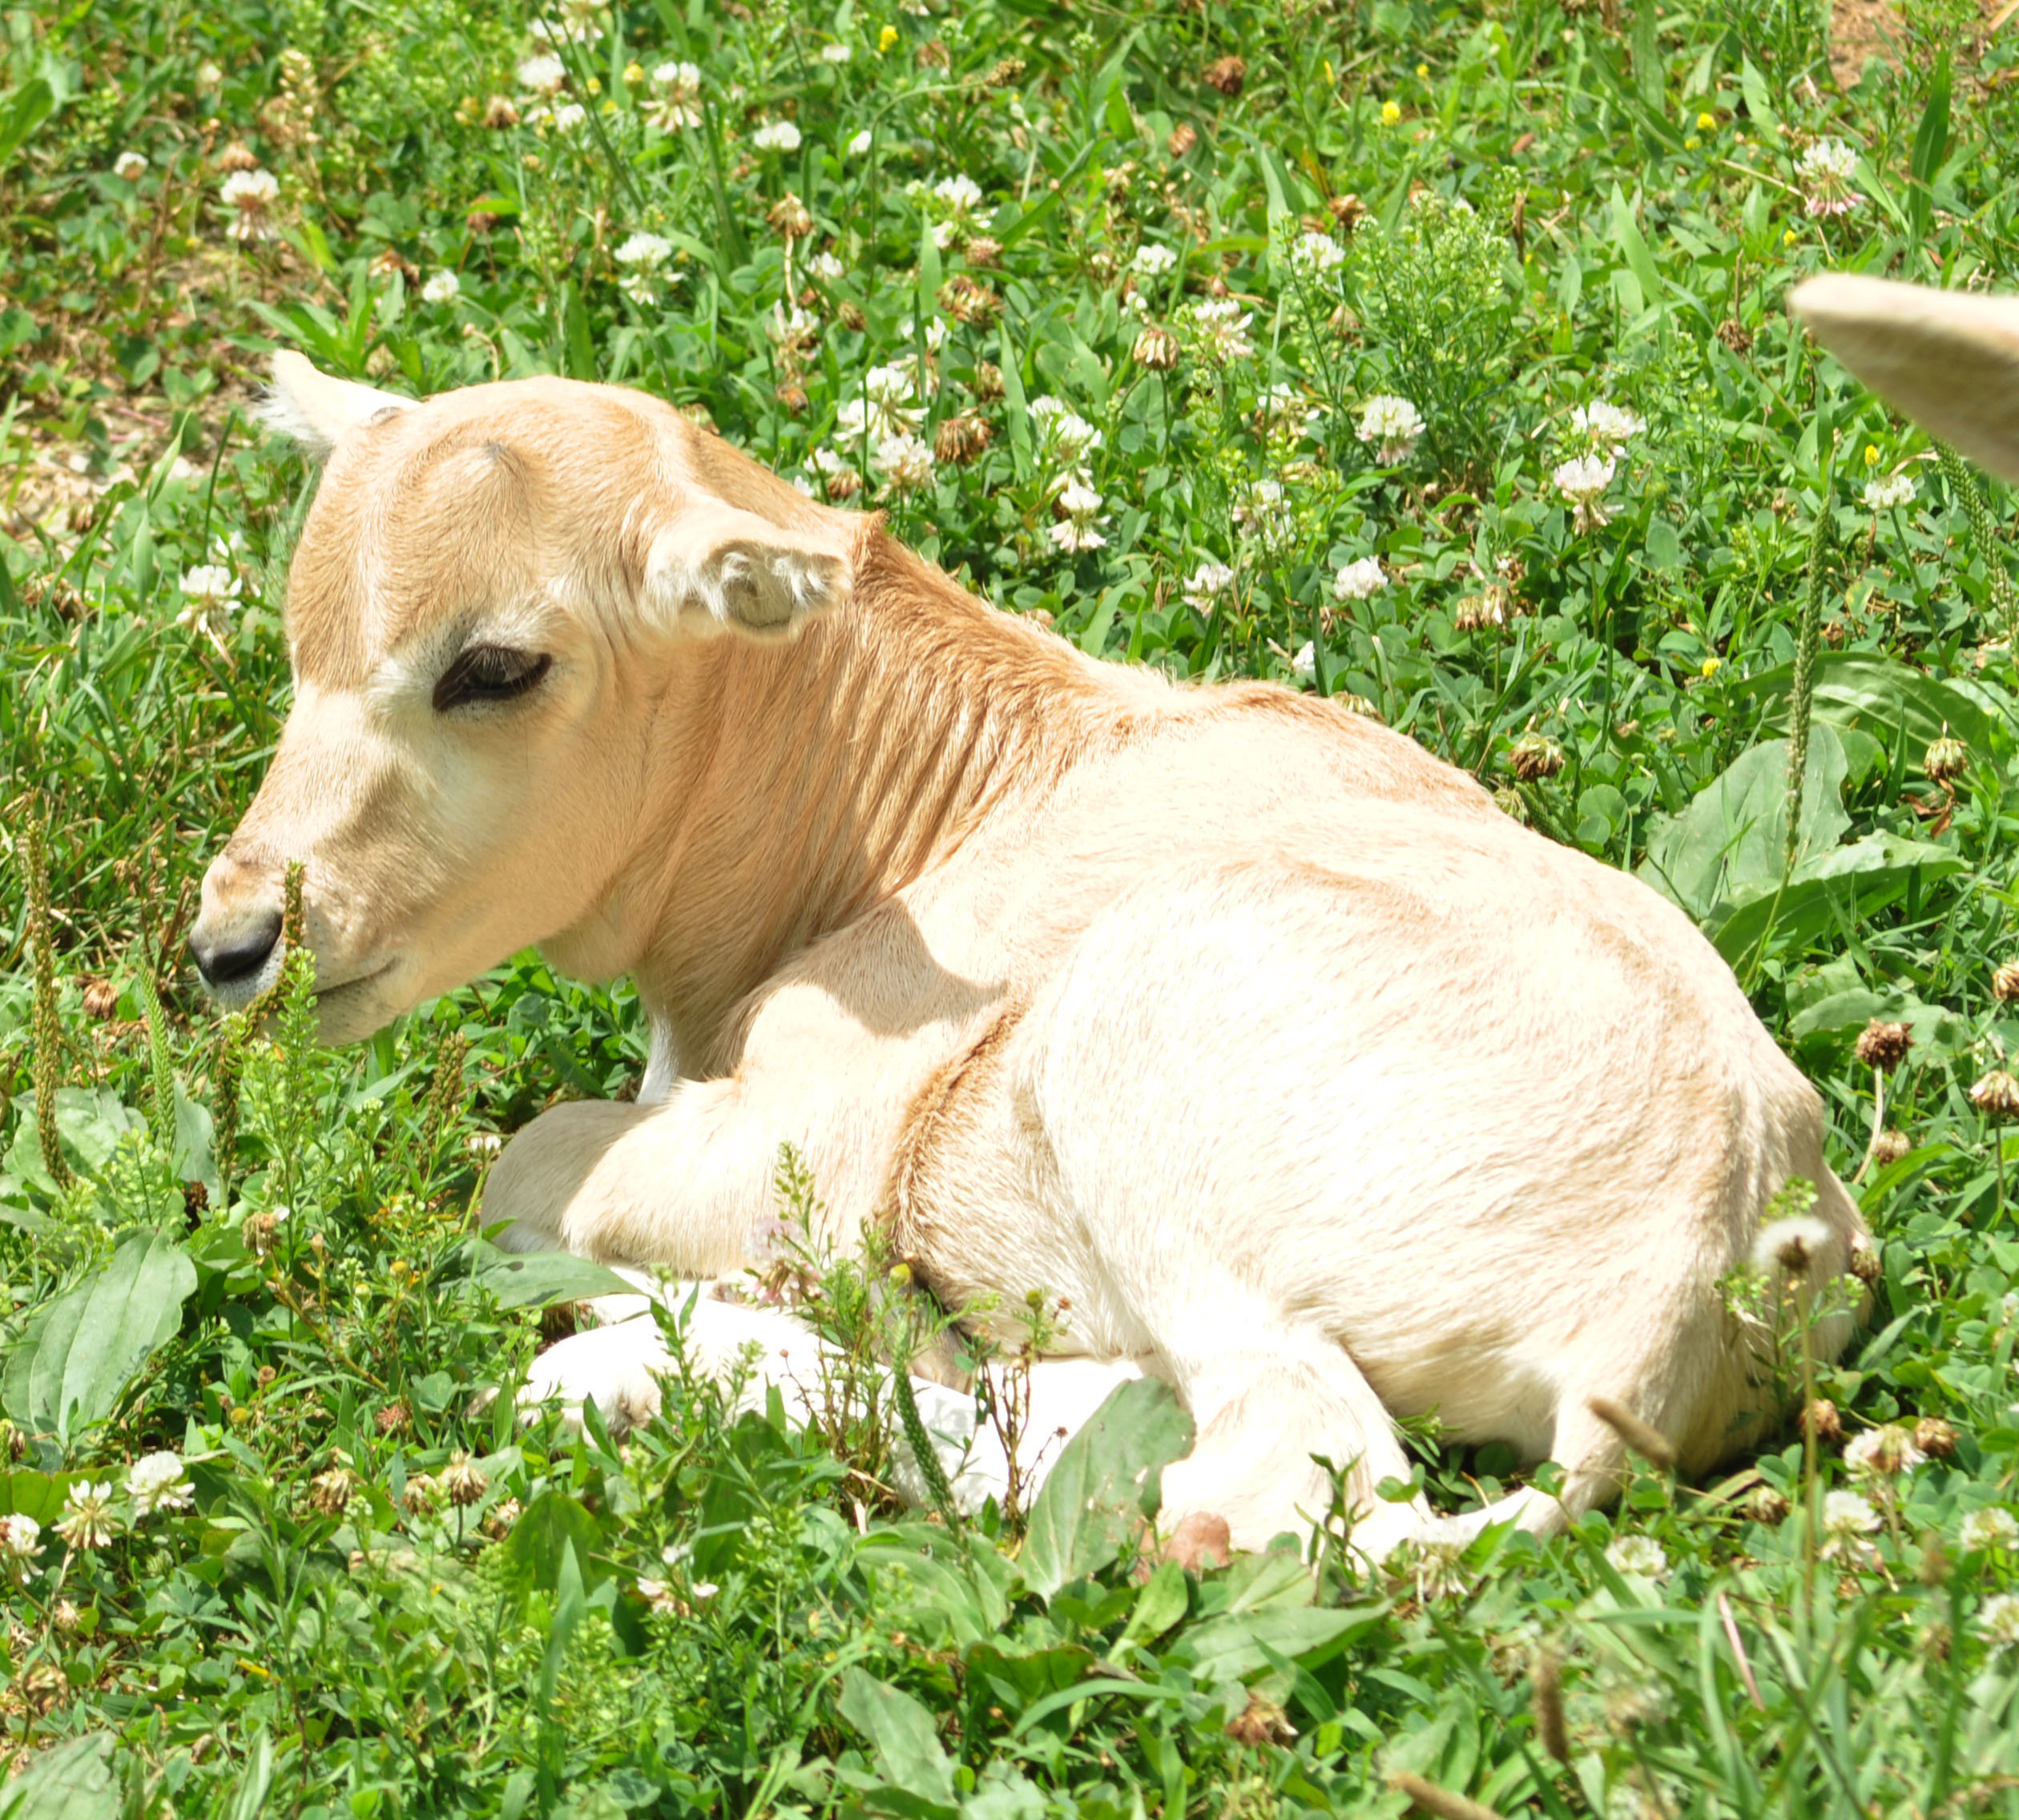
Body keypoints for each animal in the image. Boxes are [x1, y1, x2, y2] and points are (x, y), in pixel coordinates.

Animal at [188, 349, 1871, 1558]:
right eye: (297, 647)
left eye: (494, 666)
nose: (235, 940)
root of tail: (1698, 1262)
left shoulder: (795, 1149)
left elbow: (527, 1163)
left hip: (1148, 1069)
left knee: (1262, 1483)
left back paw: (625, 1377)